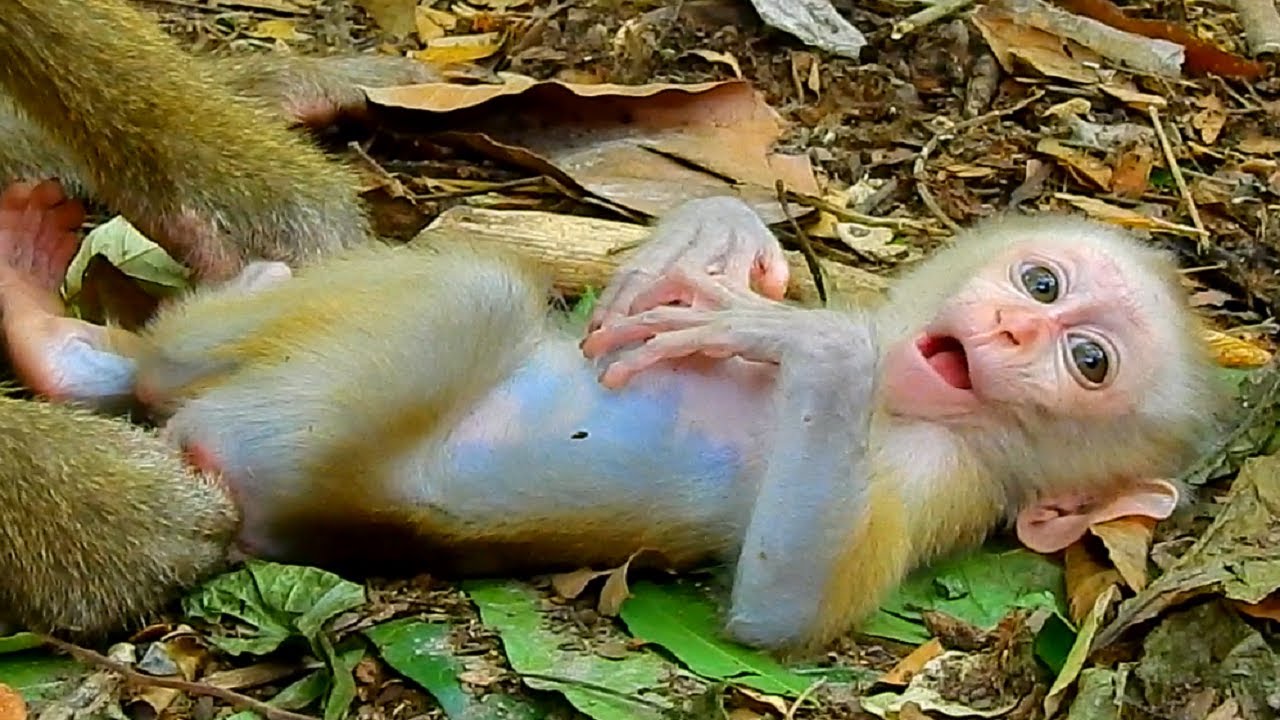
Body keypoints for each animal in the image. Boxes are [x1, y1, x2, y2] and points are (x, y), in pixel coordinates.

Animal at [0, 183, 1225, 650]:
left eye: (1087, 362)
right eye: (1041, 282)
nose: (1013, 336)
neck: (900, 386)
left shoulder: (946, 484)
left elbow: (778, 614)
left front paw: (799, 342)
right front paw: (721, 237)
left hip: (288, 446)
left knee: (468, 294)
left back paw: (88, 368)